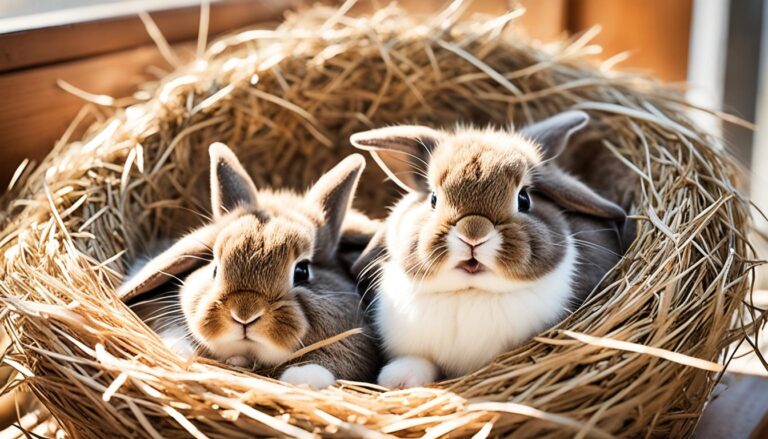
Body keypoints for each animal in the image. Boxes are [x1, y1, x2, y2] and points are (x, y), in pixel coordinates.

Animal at [349, 111, 628, 388]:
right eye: (433, 199)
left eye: (524, 199)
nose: (473, 234)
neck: (472, 293)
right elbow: (417, 360)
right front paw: (398, 381)